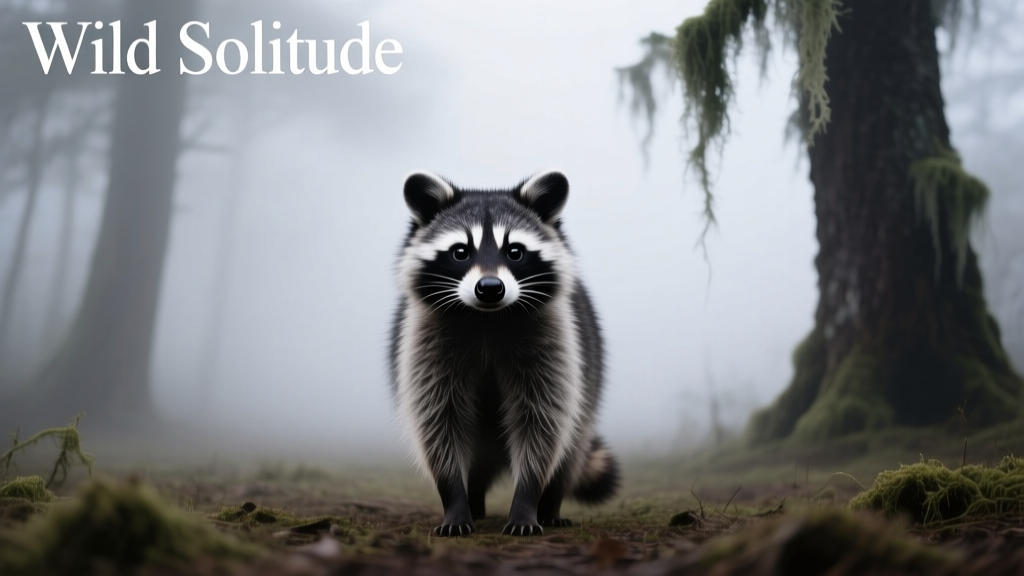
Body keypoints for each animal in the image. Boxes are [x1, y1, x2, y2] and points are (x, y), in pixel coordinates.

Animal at [390, 170, 618, 537]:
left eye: (515, 252)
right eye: (460, 252)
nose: (489, 288)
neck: (487, 318)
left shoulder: (555, 343)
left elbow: (542, 423)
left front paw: (527, 502)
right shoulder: (425, 345)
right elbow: (438, 422)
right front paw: (455, 503)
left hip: (586, 386)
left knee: (570, 447)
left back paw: (550, 506)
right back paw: (474, 501)